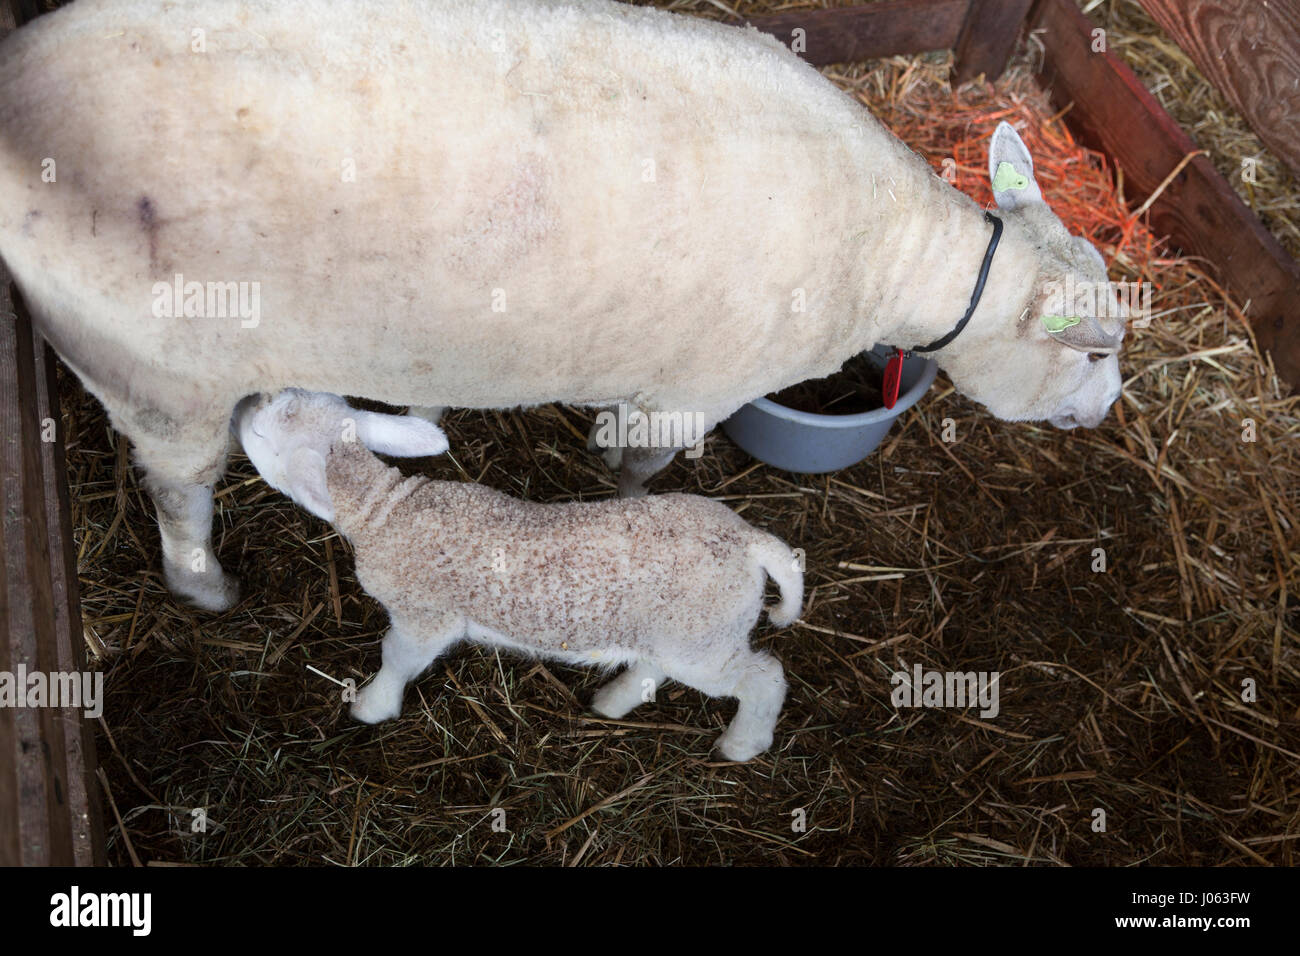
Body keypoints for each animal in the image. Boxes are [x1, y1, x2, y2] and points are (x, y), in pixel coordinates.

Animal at [0, 0, 1126, 611]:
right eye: (1093, 351)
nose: (1110, 407)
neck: (891, 252)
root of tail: (19, 88)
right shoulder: (694, 390)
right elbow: (634, 467)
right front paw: (629, 508)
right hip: (156, 369)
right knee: (179, 489)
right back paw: (203, 583)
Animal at [235, 388, 804, 762]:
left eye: (262, 433)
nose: (240, 408)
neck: (388, 509)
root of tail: (751, 541)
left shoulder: (425, 617)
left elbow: (396, 659)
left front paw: (372, 707)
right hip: (681, 631)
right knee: (655, 665)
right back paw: (613, 701)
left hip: (702, 639)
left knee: (764, 677)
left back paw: (741, 745)